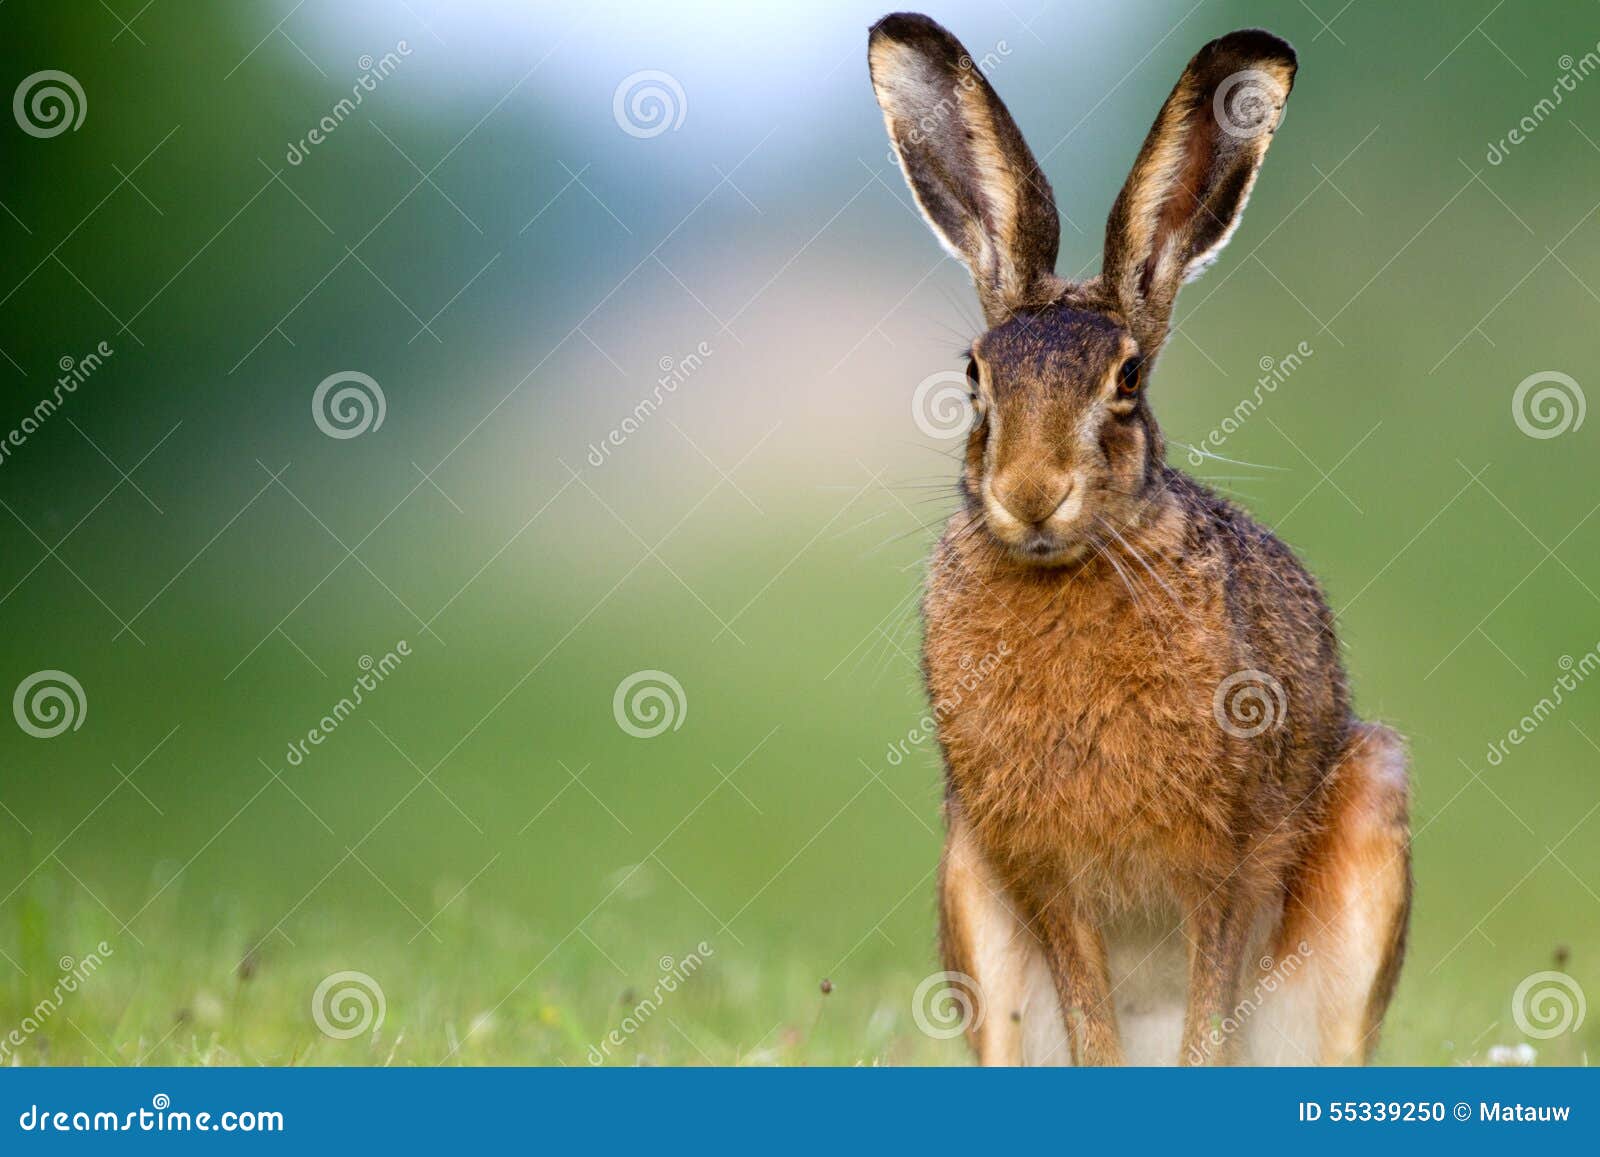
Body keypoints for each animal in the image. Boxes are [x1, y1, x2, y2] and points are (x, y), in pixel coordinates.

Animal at [868, 13, 1411, 1065]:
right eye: (974, 377)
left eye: (1124, 380)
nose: (1031, 493)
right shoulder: (1040, 876)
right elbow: (1091, 1024)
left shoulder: (1234, 864)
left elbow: (1211, 1015)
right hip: (970, 891)